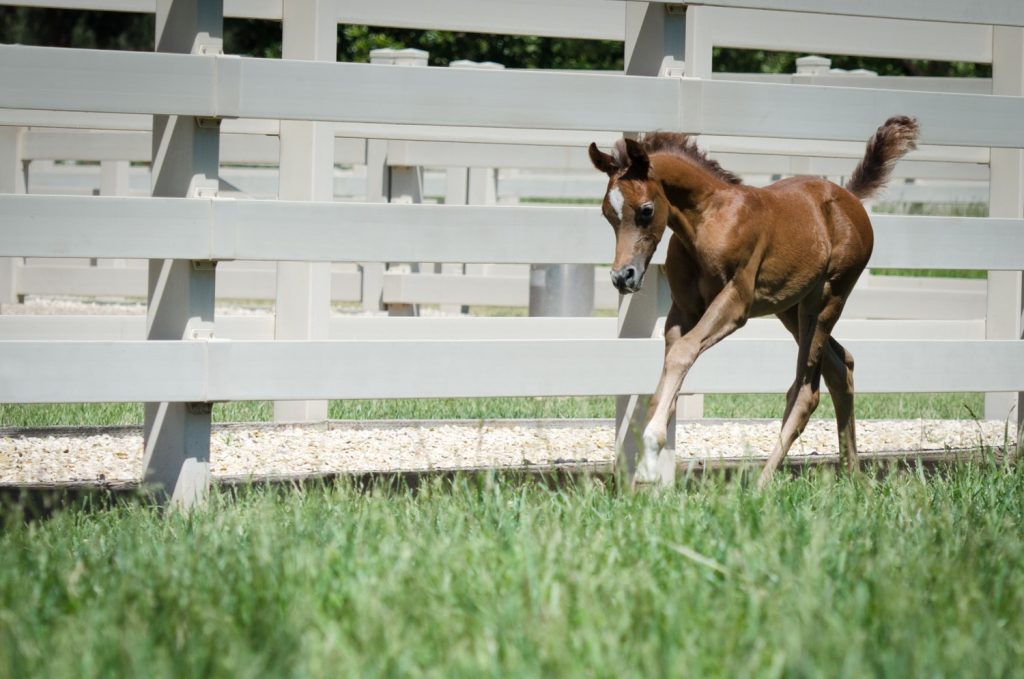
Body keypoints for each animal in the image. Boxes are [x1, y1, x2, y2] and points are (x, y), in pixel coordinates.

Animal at [589, 116, 920, 488]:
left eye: (646, 210)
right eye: (608, 214)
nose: (622, 277)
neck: (708, 220)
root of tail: (849, 196)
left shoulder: (735, 303)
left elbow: (683, 353)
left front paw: (648, 460)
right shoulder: (683, 310)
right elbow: (670, 370)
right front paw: (646, 469)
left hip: (827, 299)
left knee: (806, 391)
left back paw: (762, 485)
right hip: (791, 309)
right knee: (840, 366)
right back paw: (853, 475)